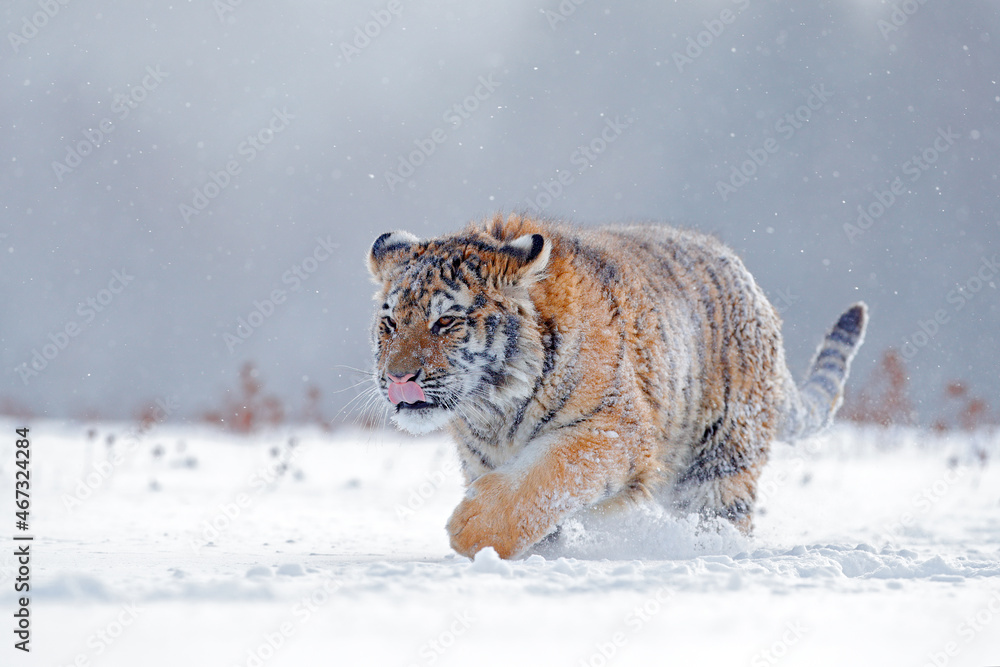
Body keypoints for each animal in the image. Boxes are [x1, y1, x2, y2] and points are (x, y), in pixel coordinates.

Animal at [366, 213, 867, 559]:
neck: (495, 408)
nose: (397, 378)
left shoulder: (617, 429)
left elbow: (550, 471)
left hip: (720, 464)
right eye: (390, 323)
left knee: (721, 519)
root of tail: (755, 292)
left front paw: (472, 529)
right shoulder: (483, 457)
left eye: (446, 322)